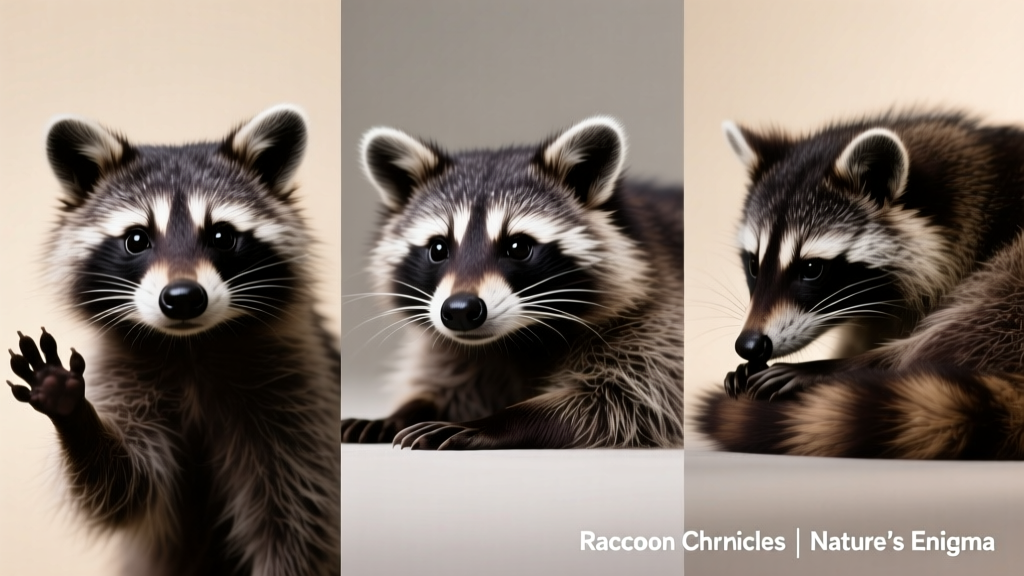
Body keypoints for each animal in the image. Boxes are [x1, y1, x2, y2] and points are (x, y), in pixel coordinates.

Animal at [7, 106, 340, 574]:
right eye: (136, 239)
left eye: (222, 235)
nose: (183, 298)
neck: (191, 345)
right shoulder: (125, 374)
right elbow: (122, 492)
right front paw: (74, 413)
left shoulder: (299, 394)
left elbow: (301, 519)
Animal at [340, 116, 684, 449]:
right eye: (438, 249)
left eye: (518, 247)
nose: (460, 310)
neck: (520, 338)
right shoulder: (453, 349)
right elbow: (449, 383)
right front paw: (404, 411)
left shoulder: (657, 324)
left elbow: (624, 401)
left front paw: (493, 422)